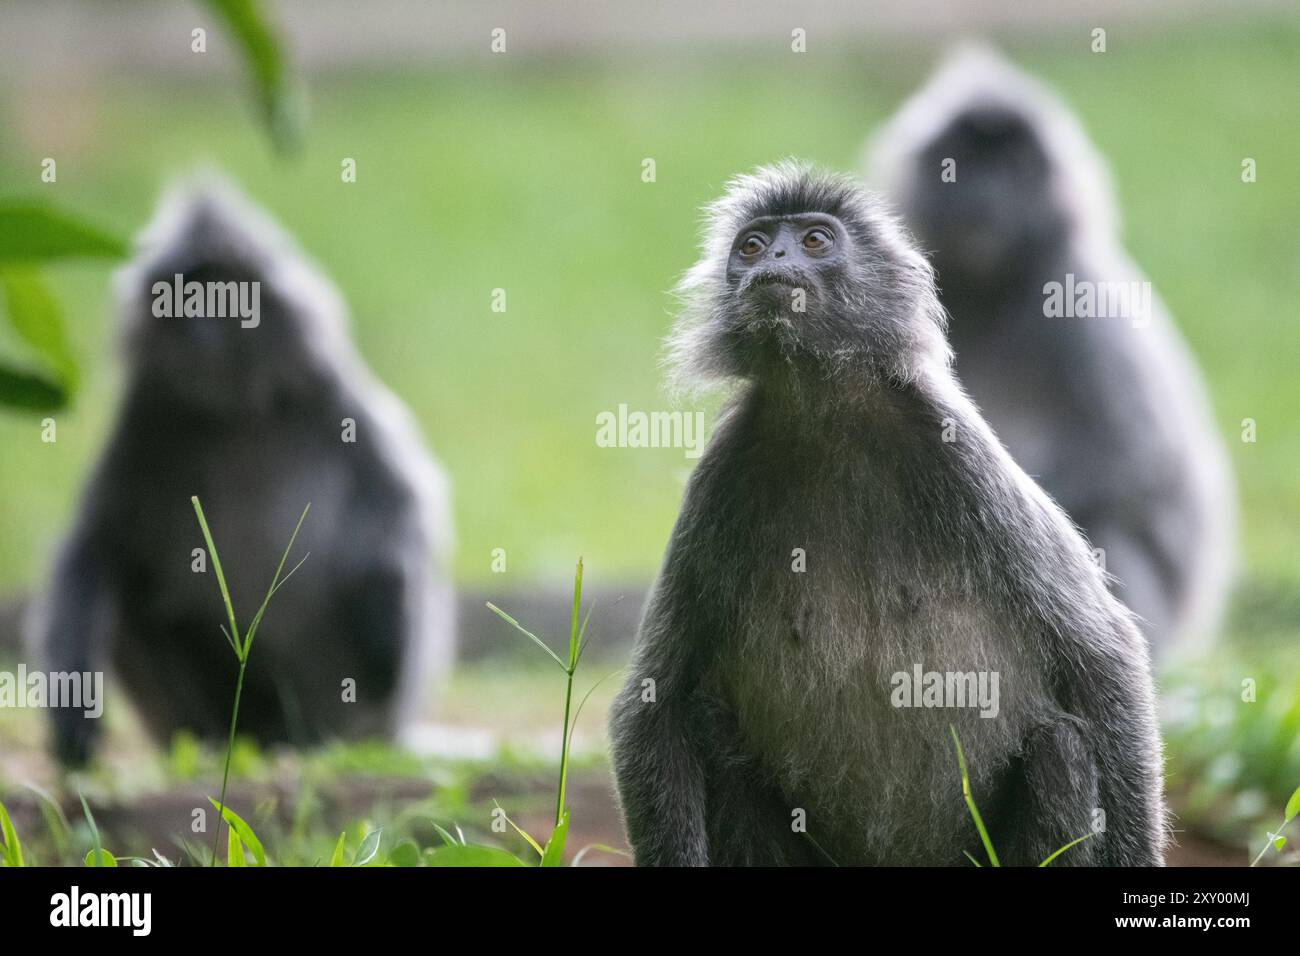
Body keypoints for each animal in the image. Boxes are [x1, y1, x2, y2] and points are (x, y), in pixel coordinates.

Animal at [26, 177, 454, 765]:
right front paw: (72, 711)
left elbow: (403, 501)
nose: (201, 331)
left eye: (223, 296)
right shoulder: (148, 412)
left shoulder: (326, 387)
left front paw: (384, 598)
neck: (232, 409)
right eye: (185, 300)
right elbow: (95, 545)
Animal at [608, 162, 1166, 866]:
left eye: (815, 241)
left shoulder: (957, 447)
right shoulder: (721, 476)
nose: (776, 260)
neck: (826, 414)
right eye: (752, 247)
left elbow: (1102, 658)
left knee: (1059, 747)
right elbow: (655, 706)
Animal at [867, 47, 1234, 653]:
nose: (987, 196)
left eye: (1013, 168)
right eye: (962, 164)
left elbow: (1138, 459)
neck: (986, 287)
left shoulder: (1077, 292)